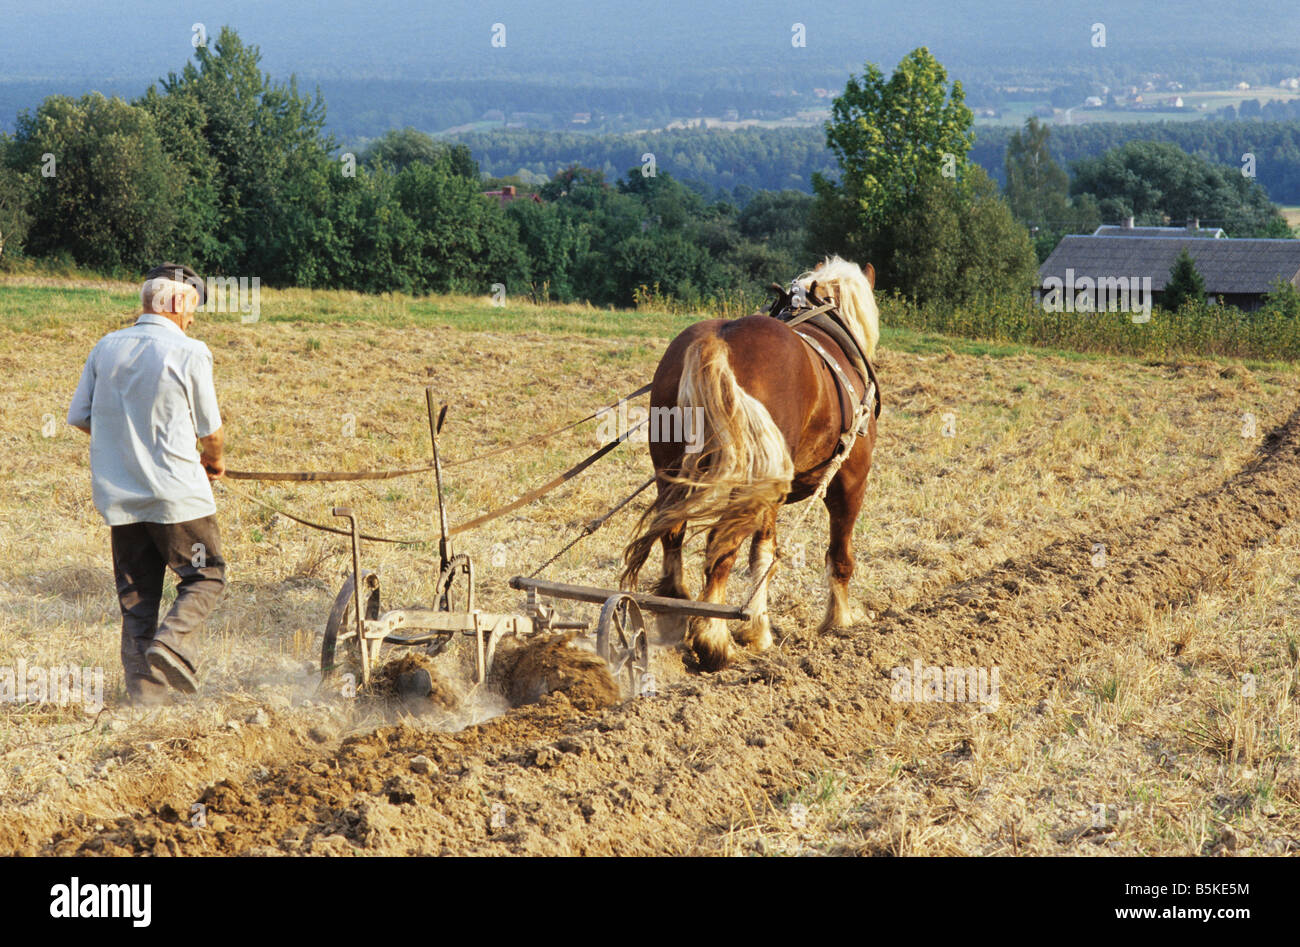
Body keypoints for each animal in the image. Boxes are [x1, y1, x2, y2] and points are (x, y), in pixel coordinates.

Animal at [621, 255, 880, 671]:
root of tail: (716, 342)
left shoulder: (773, 491)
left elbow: (764, 553)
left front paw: (757, 629)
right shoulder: (850, 480)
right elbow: (839, 555)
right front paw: (839, 622)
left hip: (677, 470)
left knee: (673, 533)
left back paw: (676, 610)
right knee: (718, 546)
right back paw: (713, 639)